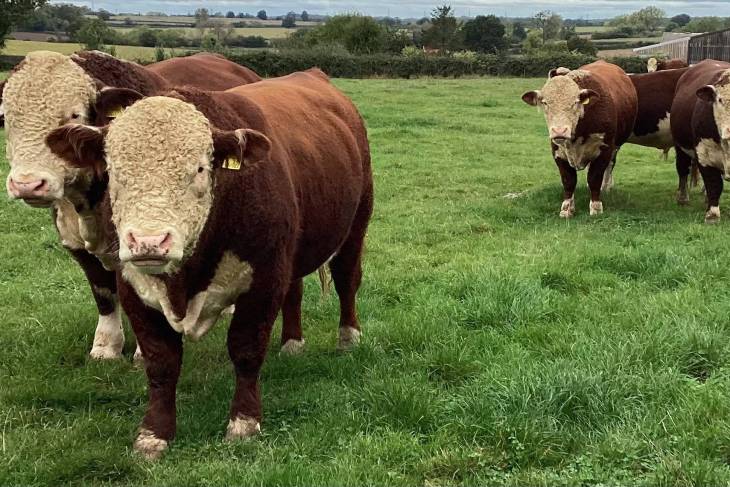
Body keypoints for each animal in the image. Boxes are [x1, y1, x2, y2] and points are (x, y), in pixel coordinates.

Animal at [1, 50, 260, 361]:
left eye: (73, 115)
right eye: (5, 118)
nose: (27, 184)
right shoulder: (76, 244)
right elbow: (103, 293)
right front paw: (106, 345)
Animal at [46, 68, 374, 459]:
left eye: (200, 169)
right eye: (112, 171)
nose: (149, 241)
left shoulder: (263, 279)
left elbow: (246, 349)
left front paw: (243, 423)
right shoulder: (133, 287)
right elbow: (160, 361)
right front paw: (153, 434)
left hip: (356, 224)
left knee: (346, 279)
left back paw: (348, 337)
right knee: (294, 290)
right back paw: (292, 343)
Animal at [521, 61, 638, 217]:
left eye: (575, 102)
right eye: (545, 103)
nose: (559, 131)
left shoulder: (604, 149)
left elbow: (595, 178)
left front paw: (596, 208)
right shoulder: (558, 152)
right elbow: (569, 180)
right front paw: (567, 208)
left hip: (616, 146)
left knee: (610, 166)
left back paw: (606, 187)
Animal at [671, 59, 730, 223]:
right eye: (720, 100)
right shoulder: (704, 154)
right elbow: (714, 183)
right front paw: (712, 215)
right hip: (680, 147)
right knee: (682, 170)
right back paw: (683, 198)